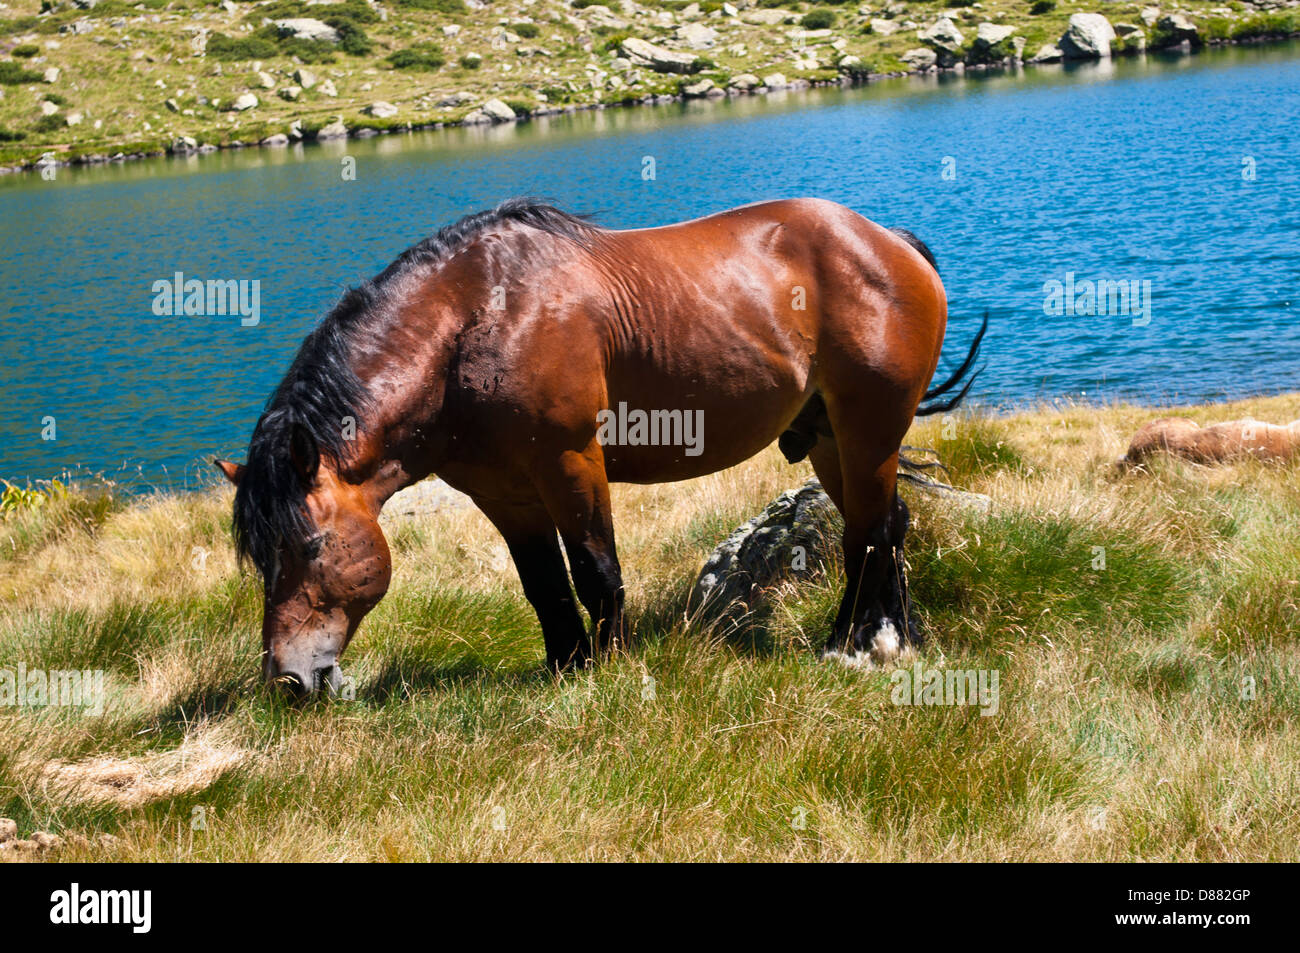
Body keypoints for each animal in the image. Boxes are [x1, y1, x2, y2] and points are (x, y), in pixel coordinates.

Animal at [214, 198, 983, 697]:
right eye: (261, 558)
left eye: (310, 545)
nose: (287, 678)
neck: (476, 321)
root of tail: (890, 241)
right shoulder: (504, 492)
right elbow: (545, 585)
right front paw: (566, 667)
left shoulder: (571, 461)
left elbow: (594, 571)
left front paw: (610, 671)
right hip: (829, 437)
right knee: (885, 526)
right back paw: (878, 636)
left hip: (867, 432)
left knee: (870, 534)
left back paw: (858, 644)